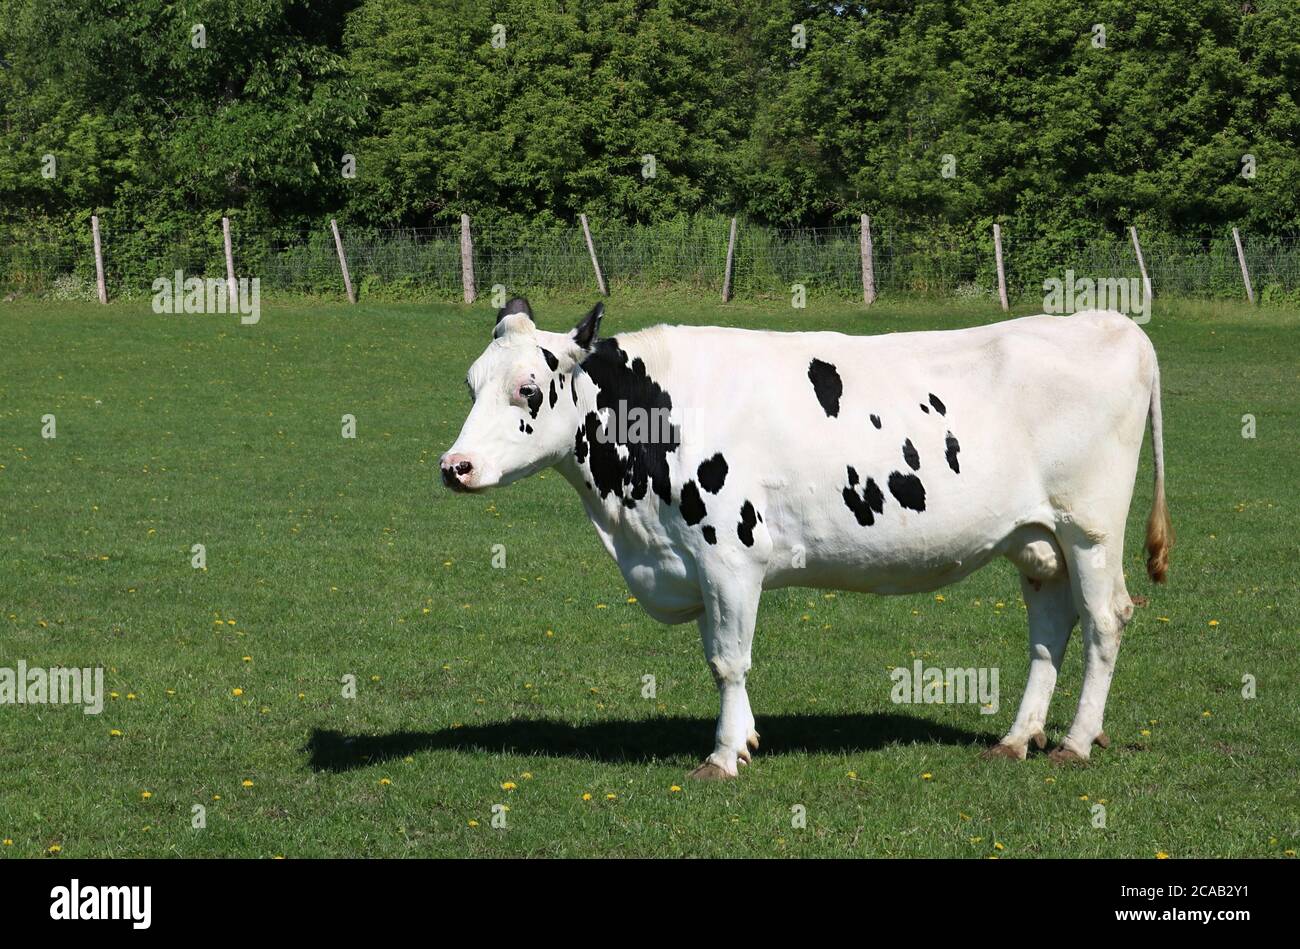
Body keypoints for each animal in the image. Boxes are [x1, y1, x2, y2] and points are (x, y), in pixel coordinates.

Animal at [441, 298, 1172, 780]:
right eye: (471, 383)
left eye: (527, 387)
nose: (455, 466)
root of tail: (1109, 322)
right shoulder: (696, 561)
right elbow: (717, 654)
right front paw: (741, 739)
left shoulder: (729, 554)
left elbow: (728, 661)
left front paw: (723, 756)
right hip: (1037, 539)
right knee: (1050, 628)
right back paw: (1020, 738)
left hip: (1090, 528)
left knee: (1106, 619)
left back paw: (1077, 741)